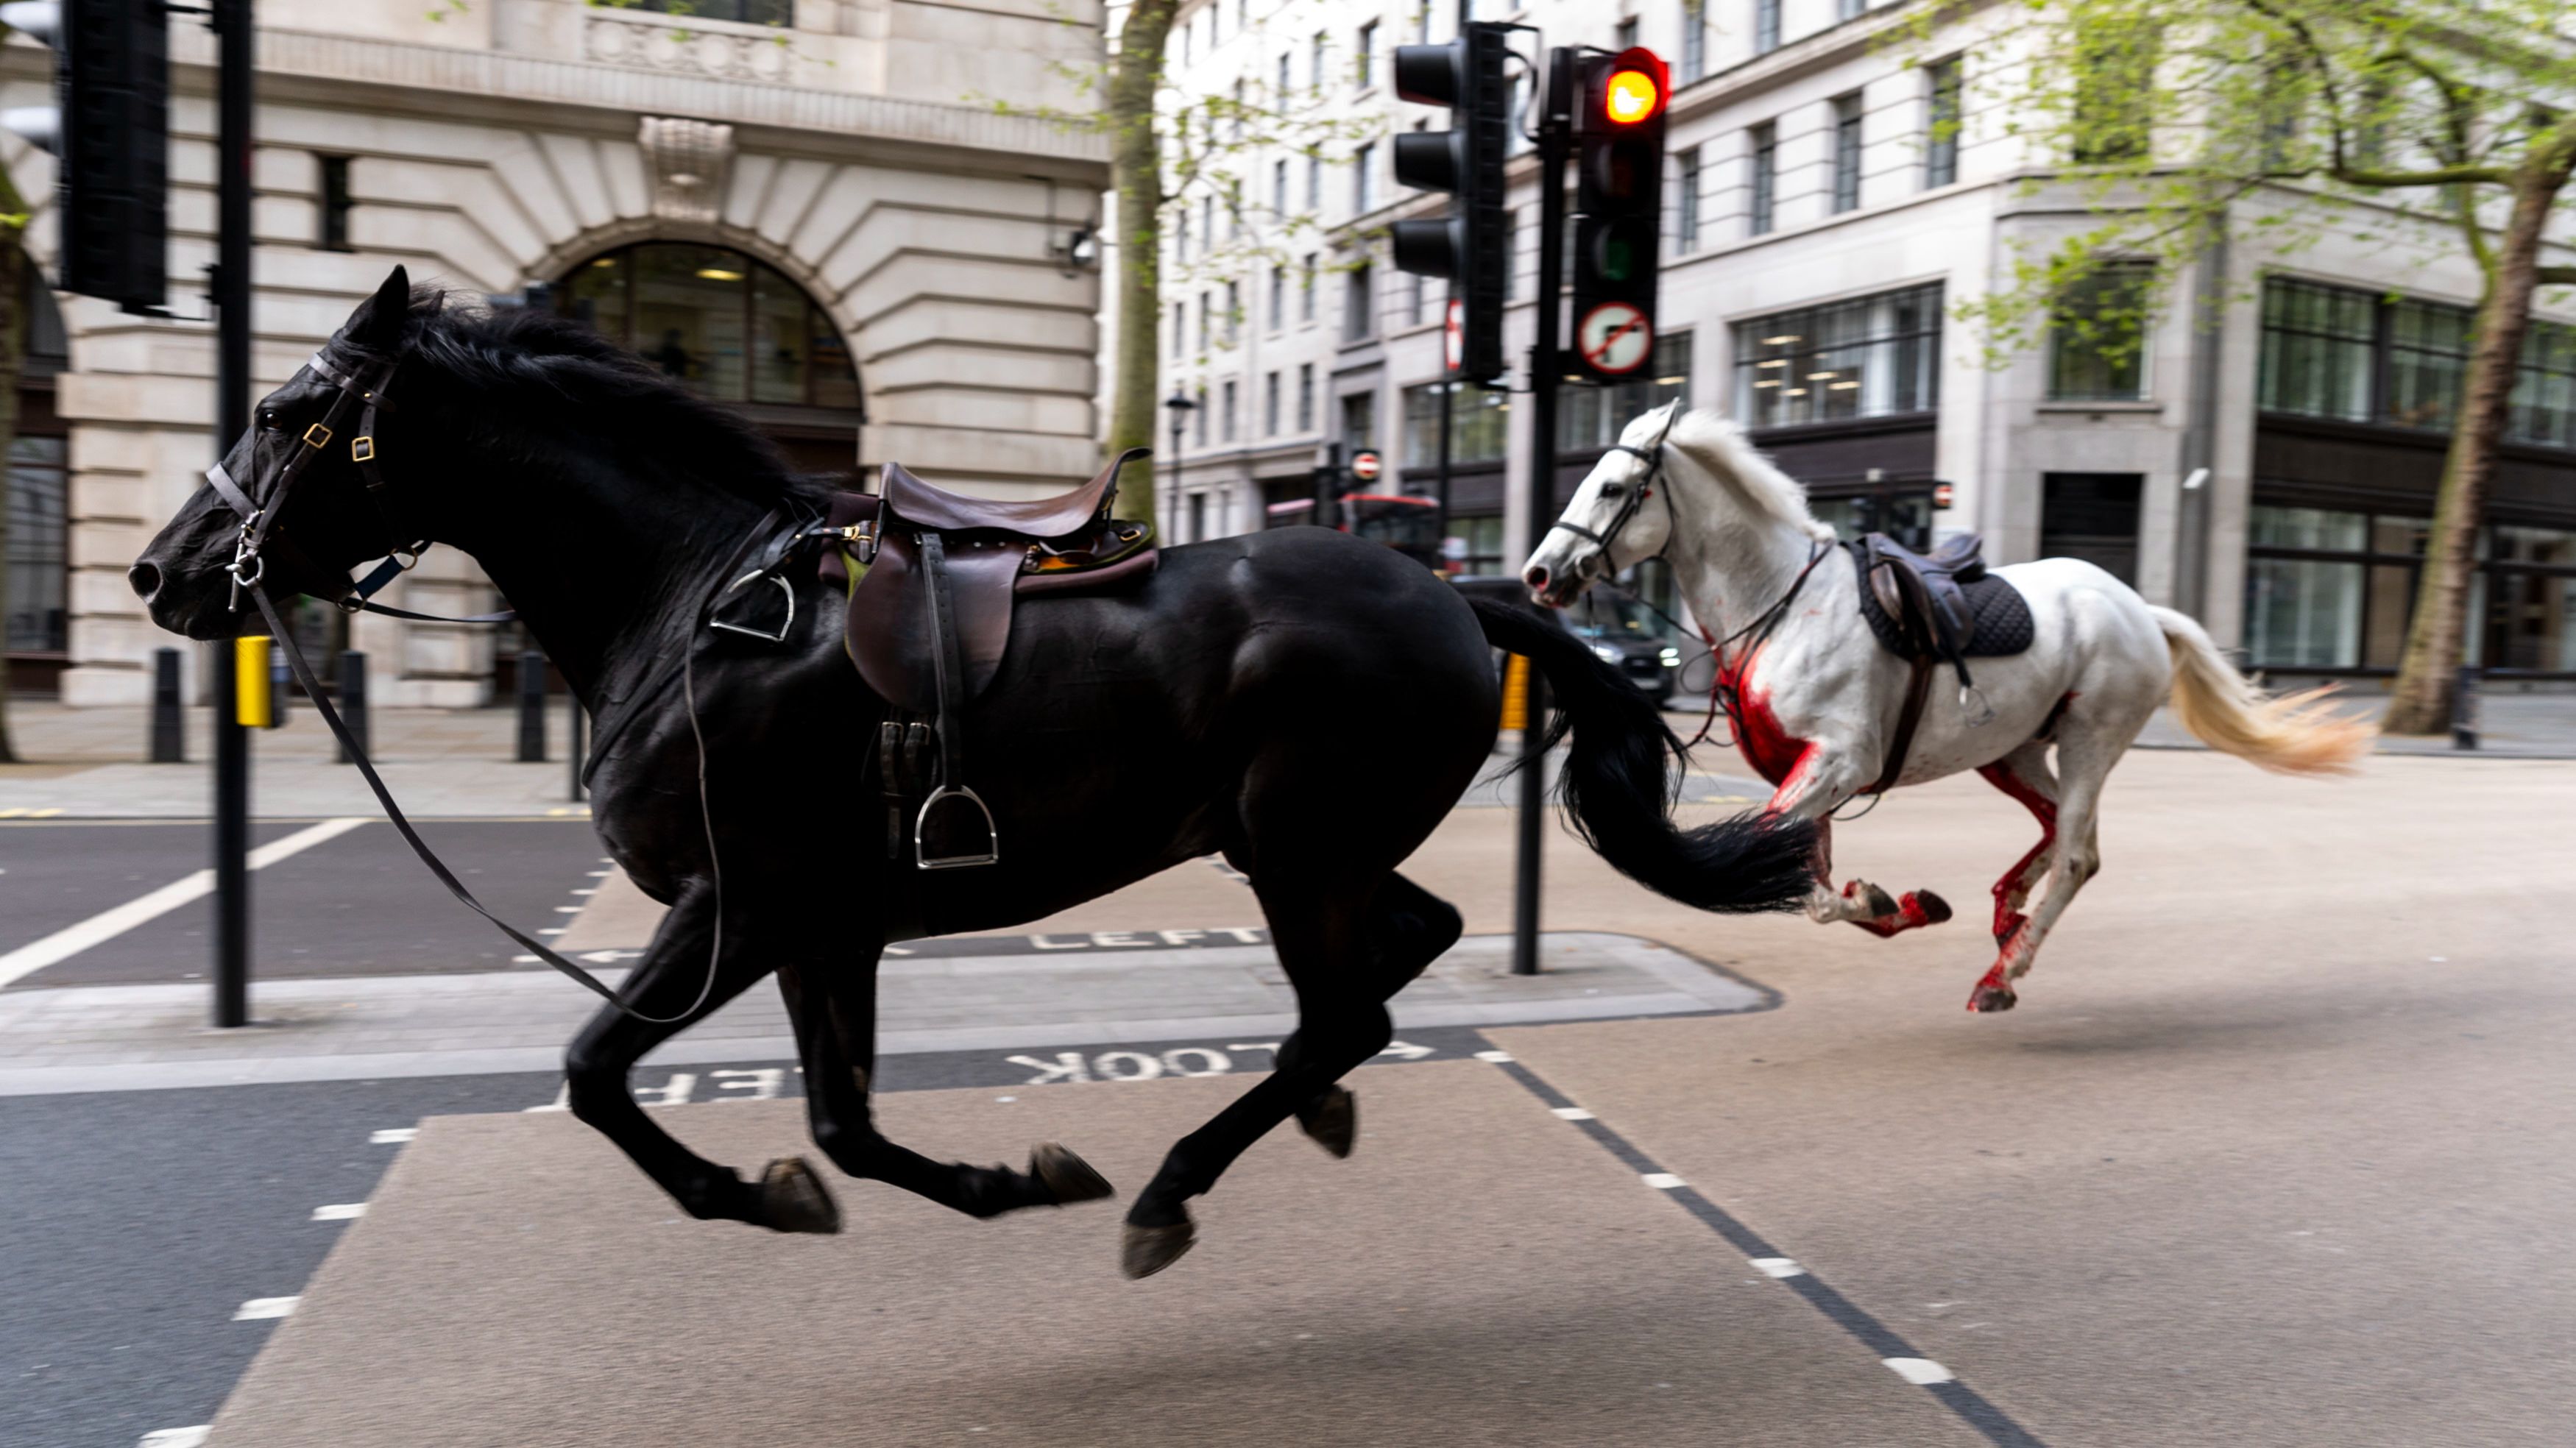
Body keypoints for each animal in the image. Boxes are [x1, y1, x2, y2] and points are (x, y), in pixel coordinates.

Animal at [129, 269, 1820, 1278]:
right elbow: (842, 1124)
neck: (691, 604)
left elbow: (600, 1071)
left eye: (283, 412)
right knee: (1399, 959)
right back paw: (1301, 1114)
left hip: (1294, 847)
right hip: (1306, 846)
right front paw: (991, 1180)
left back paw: (1175, 1185)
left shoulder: (737, 905)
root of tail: (1457, 595)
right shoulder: (825, 926)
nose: (162, 573)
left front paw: (750, 1193)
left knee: (1349, 1004)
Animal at [1520, 403, 2372, 1014]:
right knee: (2061, 830)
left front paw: (1878, 899)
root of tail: (2137, 607)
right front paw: (1896, 903)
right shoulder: (1808, 769)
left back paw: (2003, 973)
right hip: (2013, 750)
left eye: (1609, 487)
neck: (1781, 604)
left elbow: (1803, 881)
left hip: (2091, 738)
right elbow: (1808, 876)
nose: (1538, 573)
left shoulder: (1839, 760)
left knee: (2076, 853)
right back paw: (2007, 916)